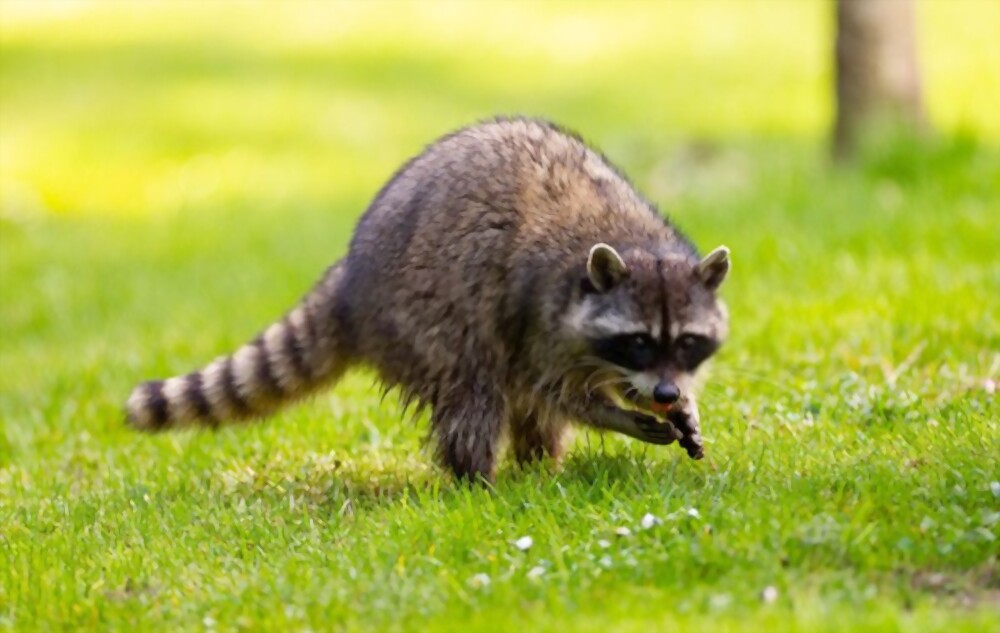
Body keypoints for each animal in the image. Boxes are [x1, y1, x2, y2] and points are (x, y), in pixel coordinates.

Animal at [126, 117, 730, 482]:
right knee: (475, 390)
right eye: (637, 340)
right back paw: (478, 479)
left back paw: (539, 465)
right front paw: (617, 416)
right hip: (426, 314)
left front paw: (678, 405)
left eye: (686, 342)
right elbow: (555, 391)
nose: (666, 391)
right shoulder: (540, 316)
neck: (634, 241)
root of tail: (351, 278)